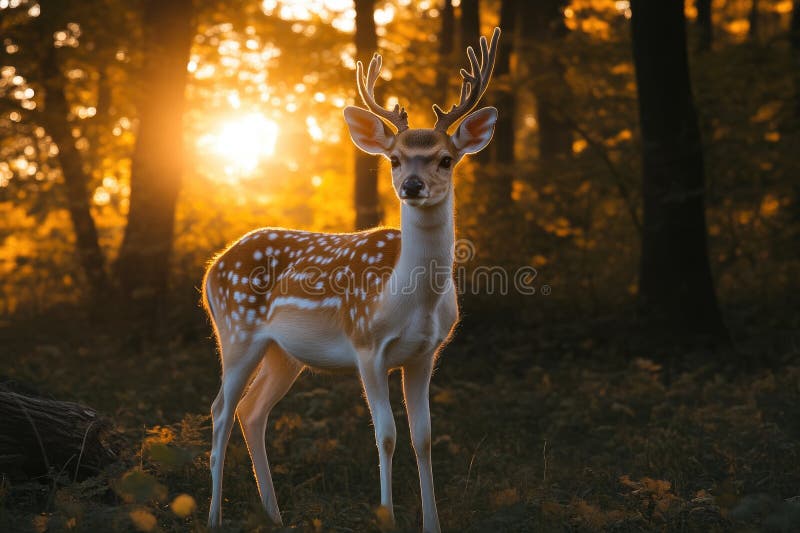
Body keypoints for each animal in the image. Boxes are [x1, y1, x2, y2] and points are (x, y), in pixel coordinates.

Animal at [203, 27, 500, 532]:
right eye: (395, 159)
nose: (412, 186)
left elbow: (423, 436)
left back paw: (274, 514)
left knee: (252, 410)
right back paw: (214, 517)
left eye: (445, 159)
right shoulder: (366, 346)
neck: (409, 300)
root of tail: (212, 267)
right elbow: (385, 435)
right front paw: (387, 518)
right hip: (236, 331)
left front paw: (432, 523)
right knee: (221, 410)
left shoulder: (425, 354)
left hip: (283, 352)